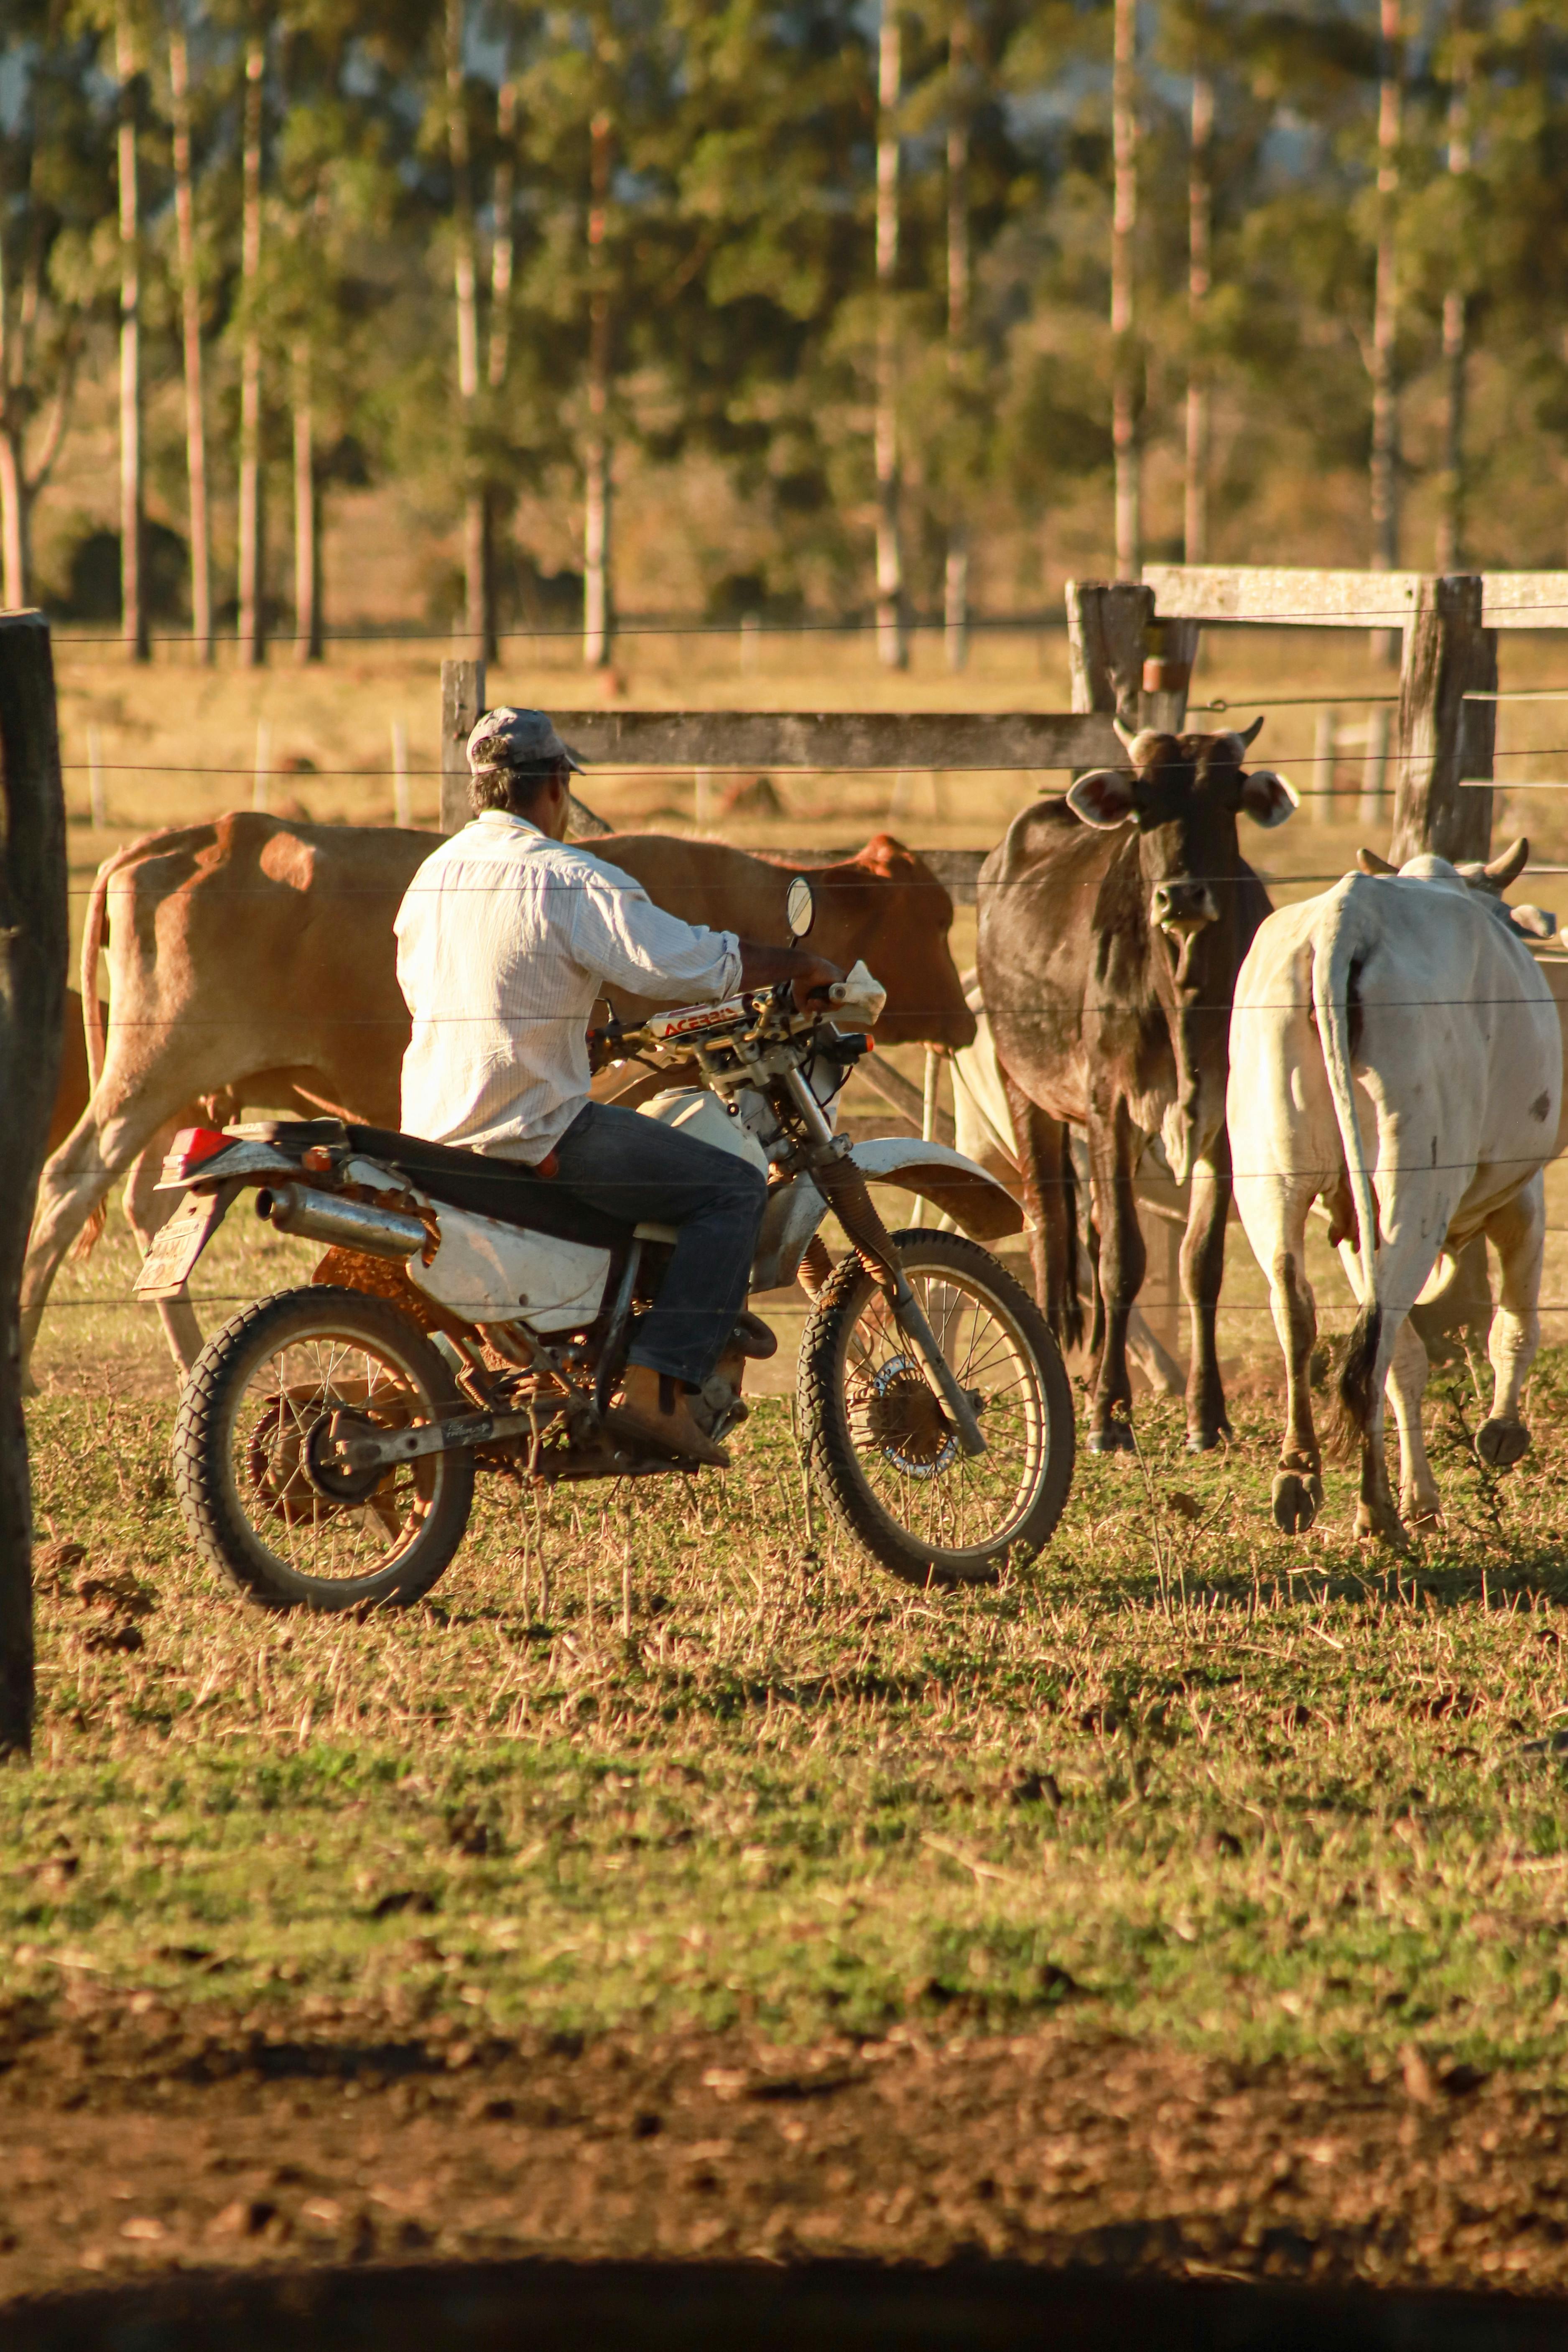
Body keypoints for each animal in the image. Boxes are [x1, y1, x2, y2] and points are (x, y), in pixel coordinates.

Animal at [23, 816, 975, 1381]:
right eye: (931, 920)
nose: (967, 1021)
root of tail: (179, 840)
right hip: (151, 1072)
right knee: (69, 1184)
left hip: (184, 1095)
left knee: (146, 1210)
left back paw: (189, 1360)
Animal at [976, 720, 1296, 1455]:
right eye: (1143, 803)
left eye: (1225, 799)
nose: (1180, 896)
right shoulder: (1109, 1105)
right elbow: (1123, 1257)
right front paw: (1106, 1417)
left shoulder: (1219, 1120)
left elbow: (1198, 1261)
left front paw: (1206, 1414)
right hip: (1023, 1087)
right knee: (1051, 1229)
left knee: (1089, 1233)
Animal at [1228, 844, 1562, 1549]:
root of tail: (1346, 916)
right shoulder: (1522, 1192)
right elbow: (1514, 1321)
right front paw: (1501, 1431)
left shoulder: (1351, 1227)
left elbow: (1406, 1362)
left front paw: (1424, 1498)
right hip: (1416, 1187)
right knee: (1377, 1335)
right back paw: (1374, 1509)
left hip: (1272, 1179)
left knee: (1301, 1310)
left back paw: (1299, 1477)